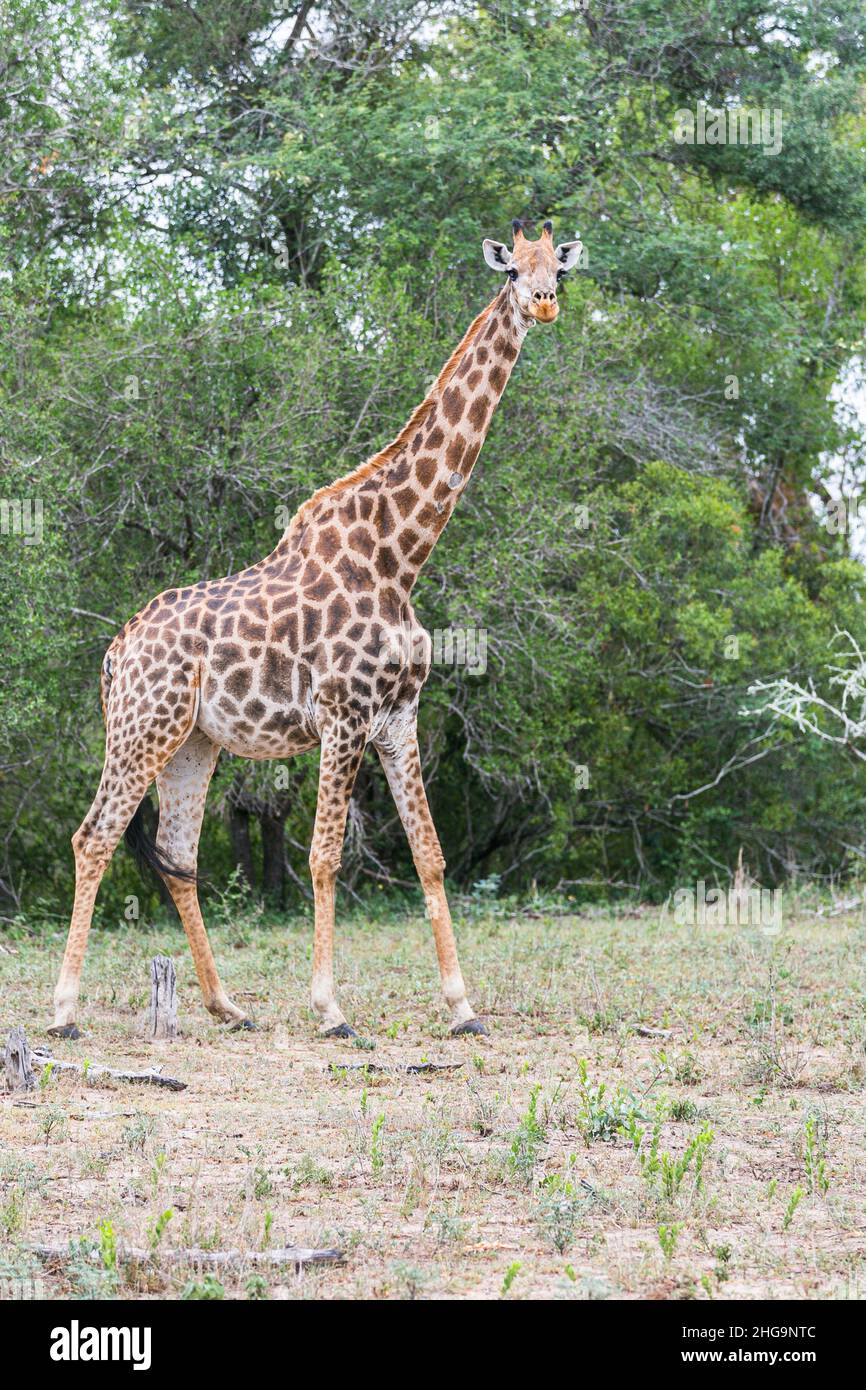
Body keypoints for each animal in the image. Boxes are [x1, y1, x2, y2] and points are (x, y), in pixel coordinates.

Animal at [49, 219, 583, 1041]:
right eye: (511, 271)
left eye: (559, 265)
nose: (545, 303)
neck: (400, 556)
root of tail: (115, 652)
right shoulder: (342, 714)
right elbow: (325, 856)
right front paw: (331, 1009)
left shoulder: (399, 715)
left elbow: (430, 855)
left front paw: (462, 1008)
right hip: (144, 725)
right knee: (95, 835)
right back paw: (65, 1010)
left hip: (193, 741)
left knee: (176, 852)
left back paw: (226, 1004)